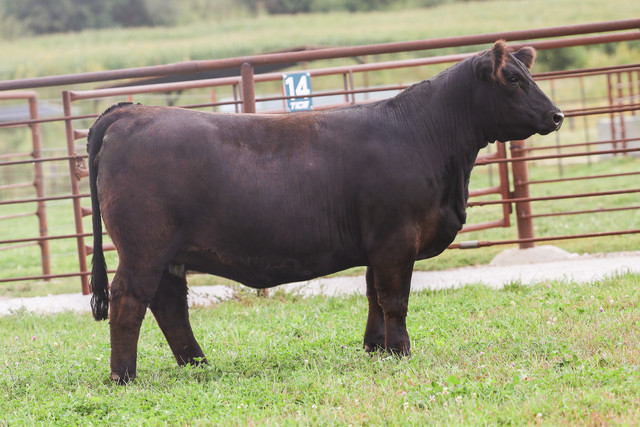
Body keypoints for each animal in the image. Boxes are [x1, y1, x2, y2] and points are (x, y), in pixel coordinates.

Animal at [87, 40, 563, 383]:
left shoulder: (378, 245)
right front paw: (401, 351)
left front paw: (376, 349)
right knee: (130, 301)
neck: (425, 134)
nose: (556, 114)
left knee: (169, 305)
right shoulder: (396, 238)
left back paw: (198, 364)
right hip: (144, 247)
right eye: (513, 79)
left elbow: (373, 296)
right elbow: (395, 299)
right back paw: (124, 376)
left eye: (529, 74)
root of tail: (132, 111)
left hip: (168, 254)